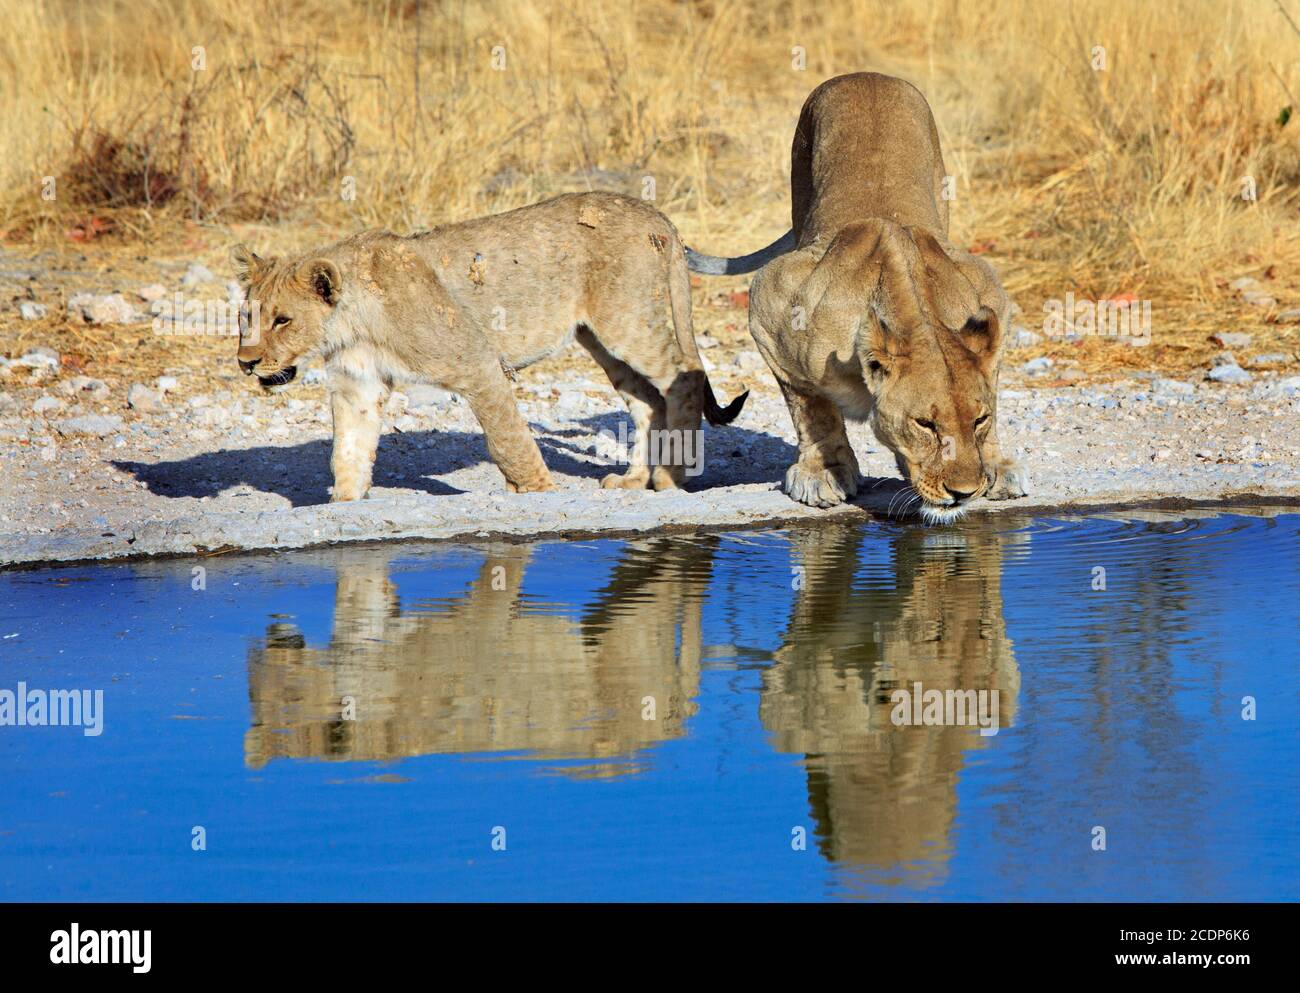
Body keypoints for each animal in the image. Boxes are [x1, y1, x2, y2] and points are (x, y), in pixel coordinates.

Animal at [232, 192, 746, 502]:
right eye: (245, 317)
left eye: (282, 320)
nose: (245, 363)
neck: (349, 322)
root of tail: (654, 212)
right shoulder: (357, 384)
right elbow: (348, 452)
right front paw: (344, 504)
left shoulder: (476, 362)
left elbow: (508, 440)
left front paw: (538, 492)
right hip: (600, 338)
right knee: (646, 402)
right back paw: (635, 479)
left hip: (628, 320)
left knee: (684, 379)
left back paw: (672, 476)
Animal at [686, 72, 1027, 521]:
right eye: (925, 424)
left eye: (979, 419)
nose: (964, 491)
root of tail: (866, 74)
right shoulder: (770, 303)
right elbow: (811, 409)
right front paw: (823, 473)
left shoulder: (985, 287)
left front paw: (997, 466)